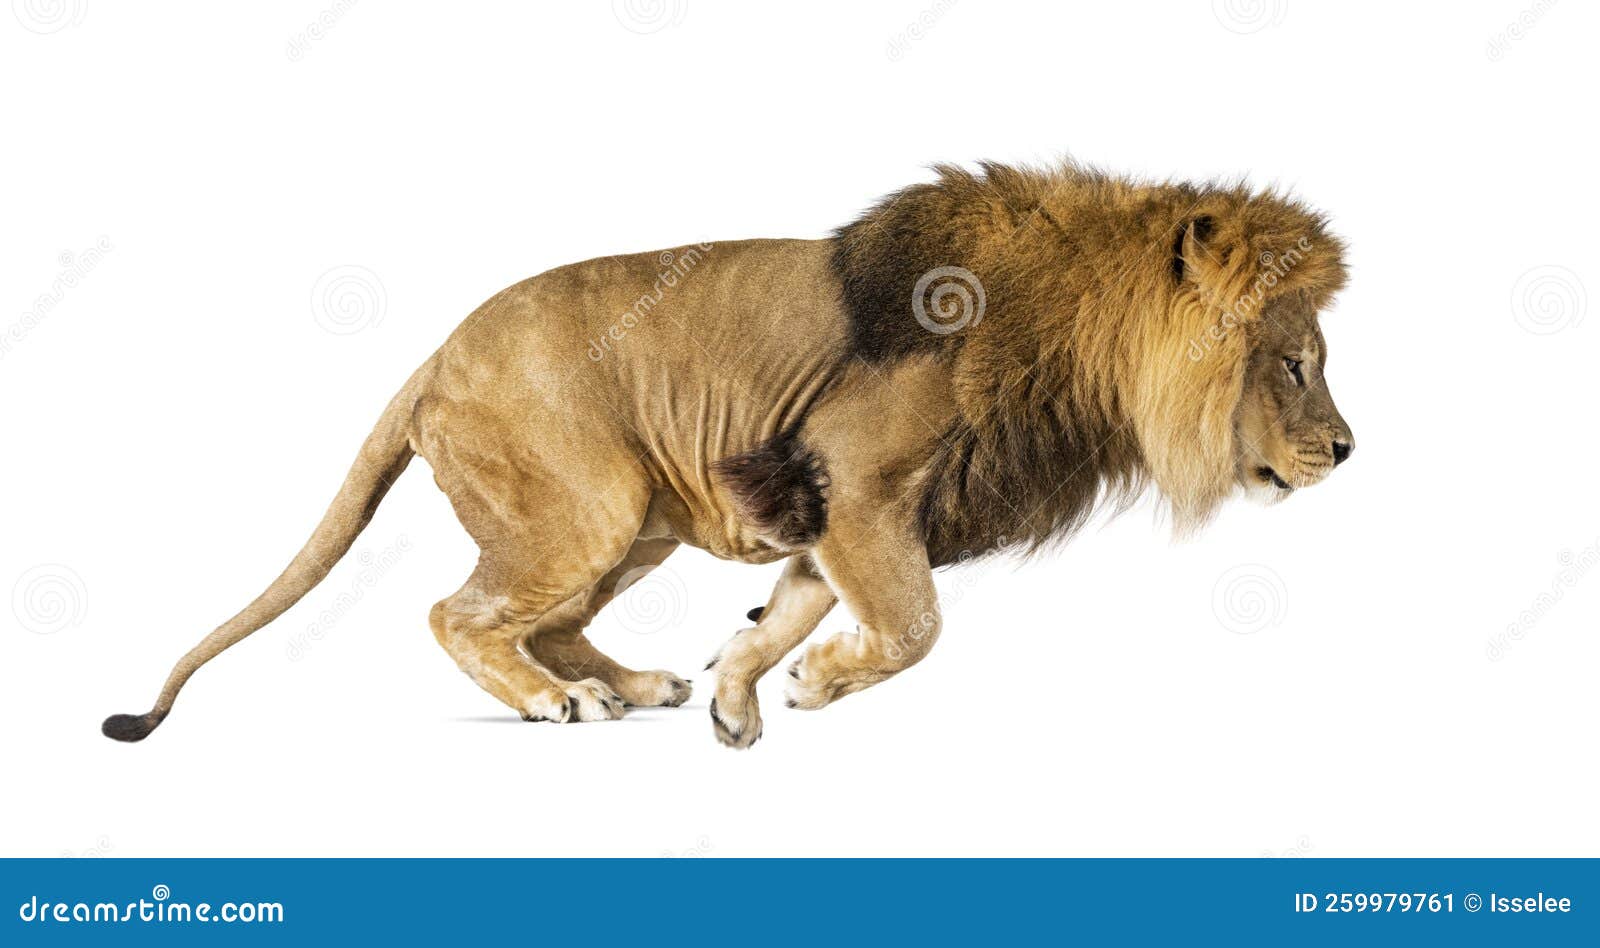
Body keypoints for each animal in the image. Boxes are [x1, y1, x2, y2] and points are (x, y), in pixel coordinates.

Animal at [103, 161, 1353, 749]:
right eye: (1293, 364)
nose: (1346, 450)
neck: (1079, 348)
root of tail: (432, 356)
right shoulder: (857, 483)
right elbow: (911, 629)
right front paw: (810, 682)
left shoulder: (849, 513)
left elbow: (795, 607)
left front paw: (743, 693)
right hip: (591, 502)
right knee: (461, 614)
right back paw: (552, 705)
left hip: (636, 521)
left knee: (547, 621)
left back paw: (627, 688)